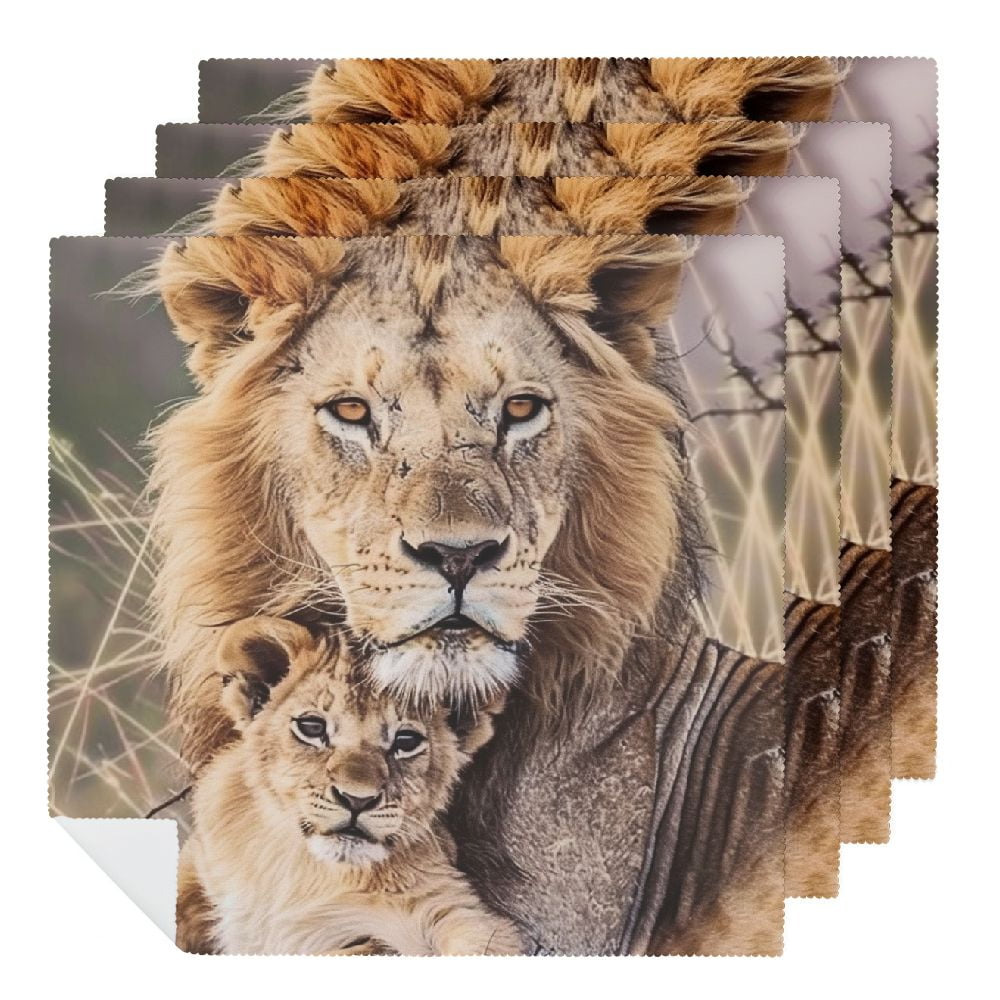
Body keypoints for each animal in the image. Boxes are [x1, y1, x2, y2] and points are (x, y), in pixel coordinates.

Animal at [177, 615, 521, 956]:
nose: (357, 800)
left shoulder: (459, 910)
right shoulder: (200, 855)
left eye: (406, 741)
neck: (300, 870)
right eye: (312, 727)